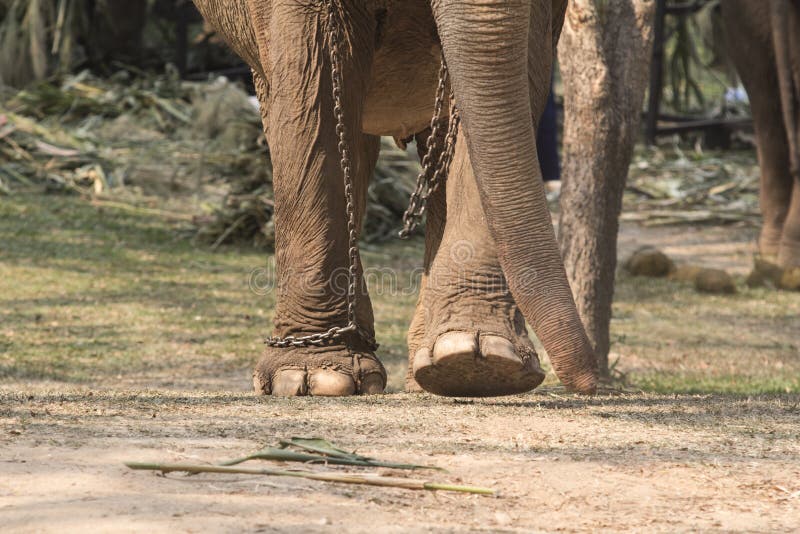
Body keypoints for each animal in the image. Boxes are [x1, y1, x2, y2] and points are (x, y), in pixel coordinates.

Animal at [191, 0, 598, 397]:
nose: (588, 383)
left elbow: (523, 61)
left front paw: (478, 360)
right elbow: (311, 75)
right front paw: (311, 378)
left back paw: (431, 370)